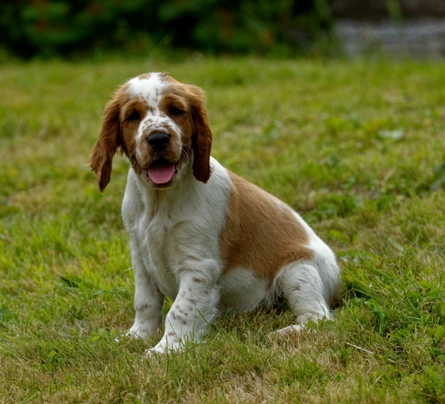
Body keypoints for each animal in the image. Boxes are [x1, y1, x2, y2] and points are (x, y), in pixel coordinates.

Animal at [90, 72, 340, 354]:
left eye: (176, 110)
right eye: (132, 116)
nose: (158, 139)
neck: (159, 200)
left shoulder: (198, 265)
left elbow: (179, 311)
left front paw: (165, 351)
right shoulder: (140, 256)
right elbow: (144, 301)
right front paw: (137, 336)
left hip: (299, 271)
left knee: (318, 316)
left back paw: (281, 334)